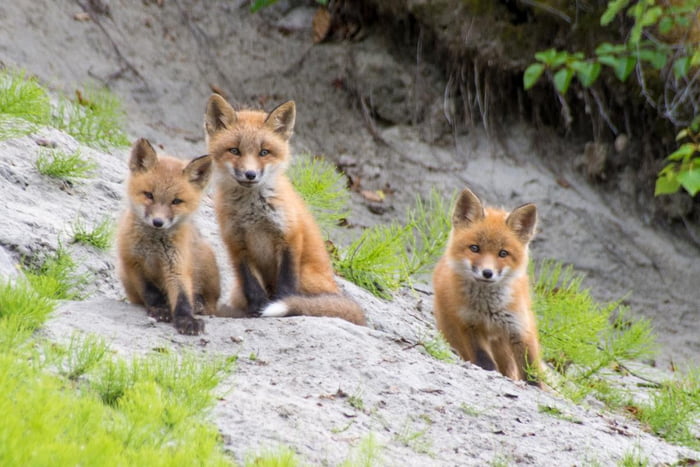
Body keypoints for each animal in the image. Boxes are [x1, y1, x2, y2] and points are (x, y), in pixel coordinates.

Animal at [117, 138, 220, 335]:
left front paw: (186, 319)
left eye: (176, 201)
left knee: (210, 304)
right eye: (149, 195)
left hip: (206, 259)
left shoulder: (177, 264)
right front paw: (160, 309)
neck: (153, 248)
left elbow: (182, 297)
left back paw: (199, 304)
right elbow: (150, 292)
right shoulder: (132, 263)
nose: (158, 222)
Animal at [204, 94, 365, 326]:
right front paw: (257, 309)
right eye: (234, 150)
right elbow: (252, 286)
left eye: (264, 152)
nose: (250, 174)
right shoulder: (236, 244)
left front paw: (279, 304)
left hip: (307, 276)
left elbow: (286, 284)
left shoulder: (289, 236)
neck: (252, 213)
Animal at [432, 188, 543, 386]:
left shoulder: (519, 328)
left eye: (503, 253)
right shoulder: (470, 325)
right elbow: (484, 361)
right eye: (475, 248)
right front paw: (489, 372)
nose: (487, 273)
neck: (489, 309)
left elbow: (530, 370)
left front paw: (536, 387)